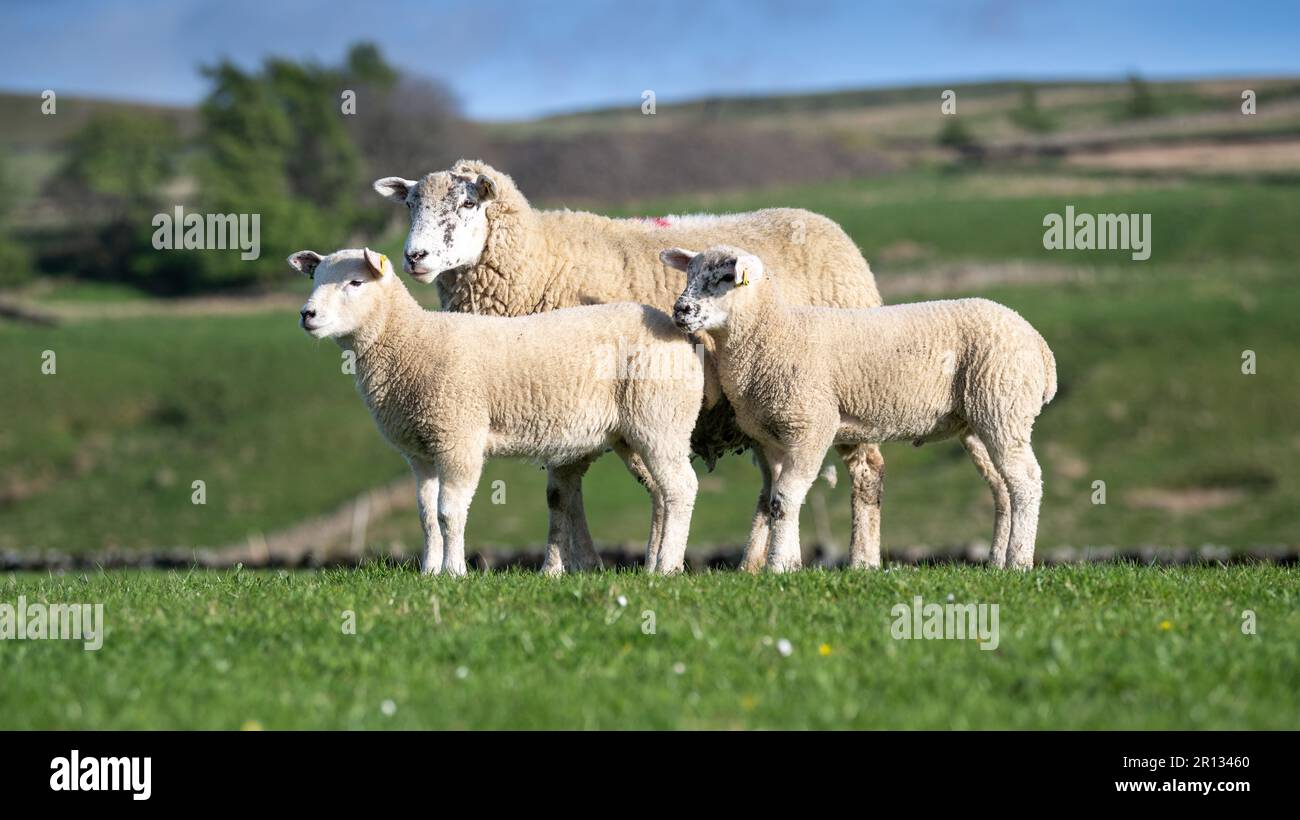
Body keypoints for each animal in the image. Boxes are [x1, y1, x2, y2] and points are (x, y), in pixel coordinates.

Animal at [289, 247, 703, 576]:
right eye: (314, 278)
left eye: (355, 283)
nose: (307, 314)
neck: (410, 342)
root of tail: (677, 333)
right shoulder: (419, 452)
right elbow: (426, 516)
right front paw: (428, 572)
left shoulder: (458, 437)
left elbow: (449, 512)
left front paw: (454, 572)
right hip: (631, 434)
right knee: (660, 493)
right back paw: (654, 565)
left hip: (660, 419)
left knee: (682, 488)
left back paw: (668, 567)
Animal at [374, 159, 889, 572]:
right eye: (411, 204)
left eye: (466, 203)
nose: (414, 257)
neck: (541, 261)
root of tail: (829, 230)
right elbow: (563, 493)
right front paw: (580, 567)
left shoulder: (568, 398)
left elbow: (564, 490)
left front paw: (563, 567)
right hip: (765, 409)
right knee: (772, 483)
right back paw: (756, 564)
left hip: (849, 394)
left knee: (867, 472)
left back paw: (861, 560)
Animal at [663, 245, 1057, 572]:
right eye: (688, 275)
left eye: (725, 278)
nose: (681, 310)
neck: (773, 334)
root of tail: (1039, 343)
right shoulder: (772, 438)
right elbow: (775, 499)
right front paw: (787, 561)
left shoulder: (812, 424)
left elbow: (787, 496)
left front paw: (778, 567)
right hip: (978, 420)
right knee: (1002, 486)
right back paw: (998, 561)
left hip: (1003, 405)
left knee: (1026, 481)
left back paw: (1019, 561)